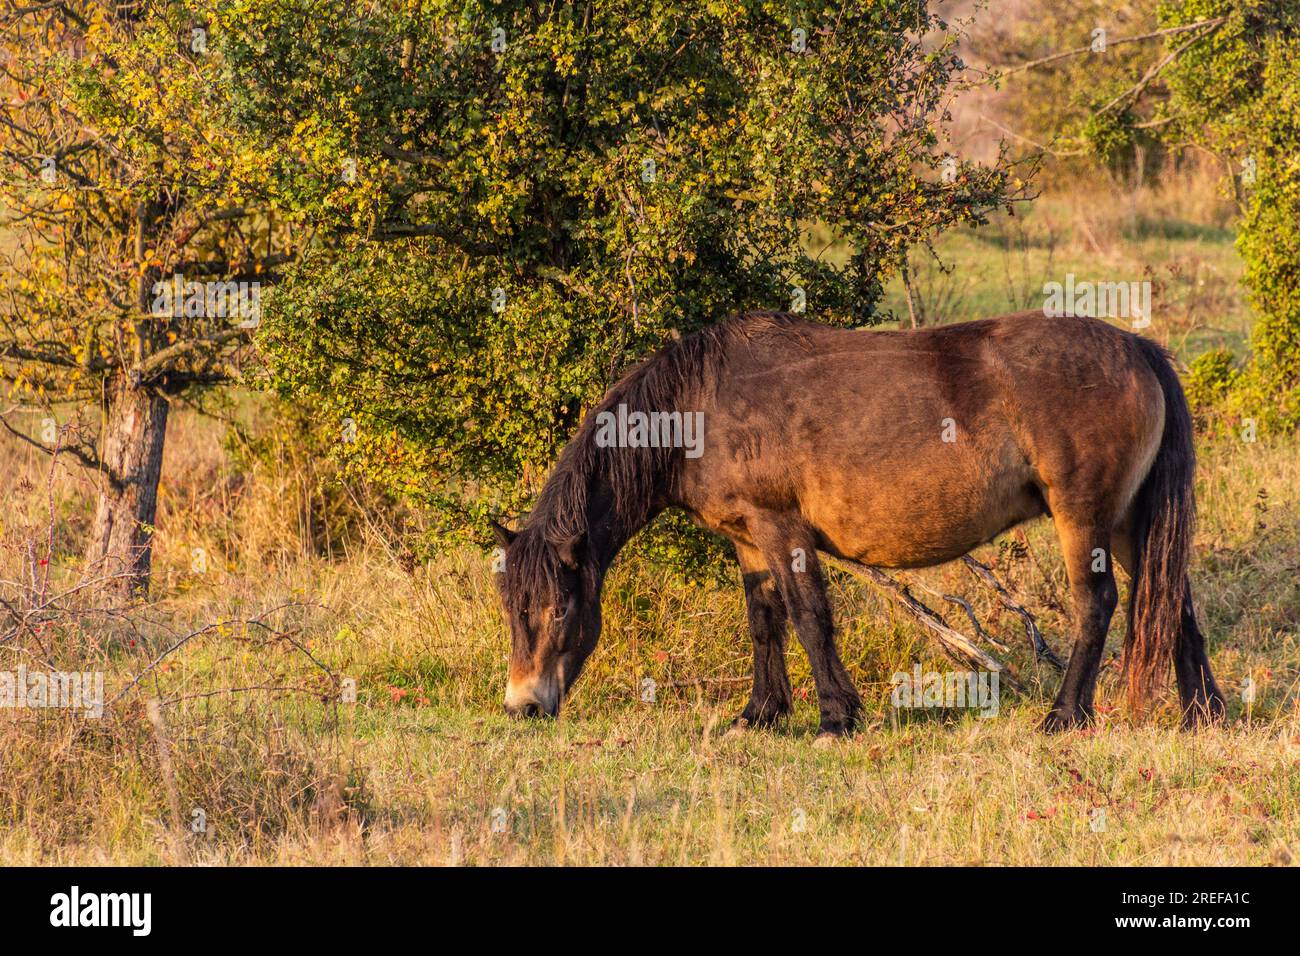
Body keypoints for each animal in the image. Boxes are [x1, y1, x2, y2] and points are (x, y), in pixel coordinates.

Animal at [491, 310, 1225, 740]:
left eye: (559, 610)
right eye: (511, 612)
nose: (523, 705)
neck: (701, 403)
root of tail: (1137, 348)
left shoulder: (779, 529)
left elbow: (809, 617)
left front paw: (835, 718)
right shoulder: (746, 540)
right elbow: (765, 622)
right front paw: (759, 715)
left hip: (1086, 517)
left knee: (1097, 604)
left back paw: (1065, 716)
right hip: (1129, 522)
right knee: (1174, 599)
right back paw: (1203, 712)